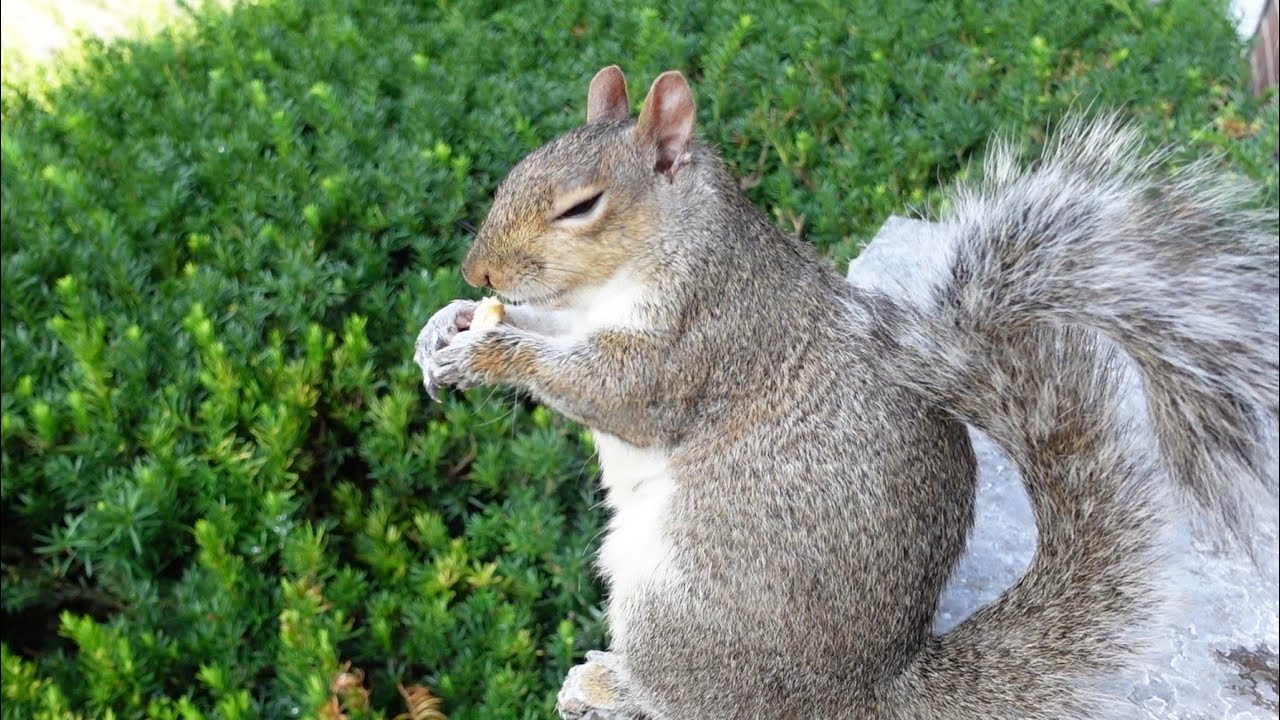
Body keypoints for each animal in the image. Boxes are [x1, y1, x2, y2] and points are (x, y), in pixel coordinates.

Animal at [413, 66, 1279, 719]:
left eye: (582, 206)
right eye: (518, 171)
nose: (477, 270)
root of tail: (857, 696)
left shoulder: (707, 338)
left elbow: (617, 390)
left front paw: (492, 350)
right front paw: (446, 325)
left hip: (683, 601)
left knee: (698, 701)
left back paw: (610, 685)